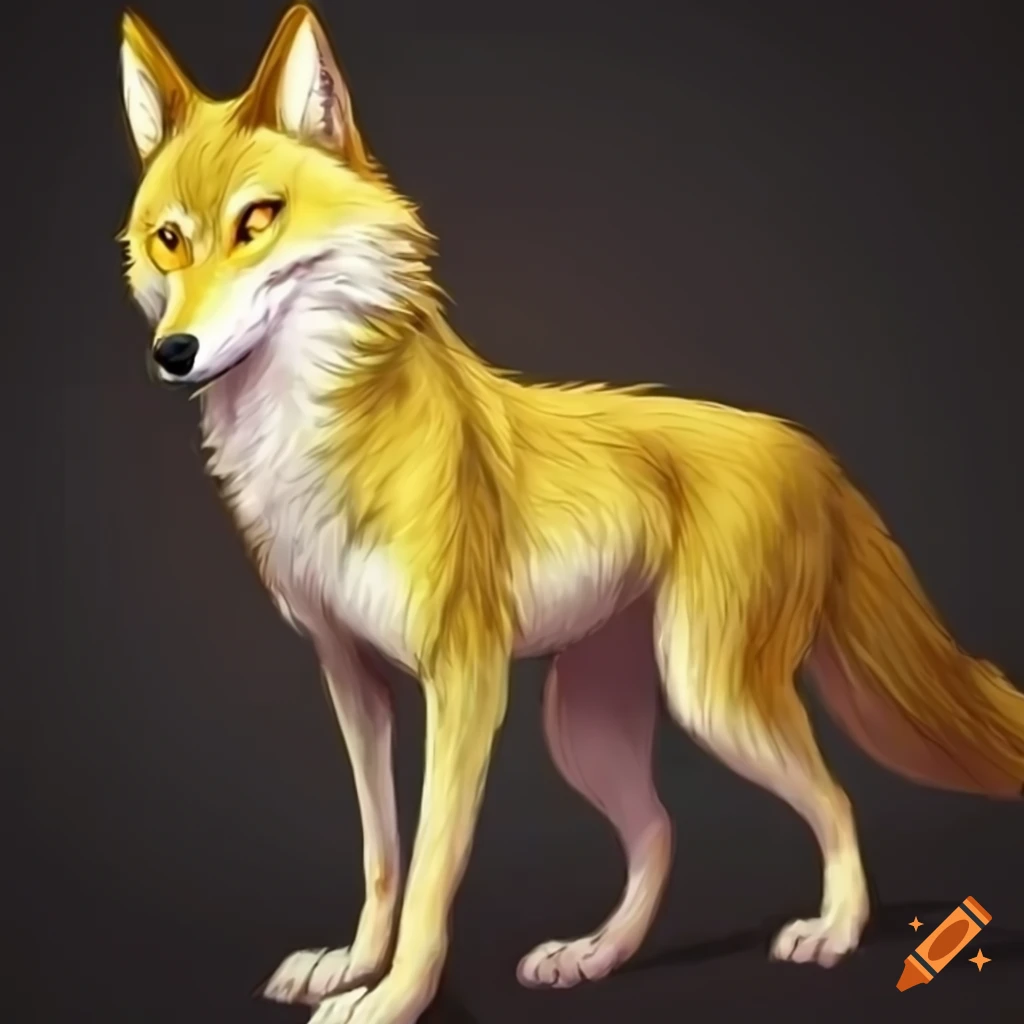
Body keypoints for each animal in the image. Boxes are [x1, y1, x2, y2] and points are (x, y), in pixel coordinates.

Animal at [117, 6, 1024, 1023]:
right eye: (168, 240)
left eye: (257, 221)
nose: (173, 353)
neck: (316, 438)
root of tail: (805, 447)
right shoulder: (352, 681)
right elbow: (382, 856)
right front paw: (353, 965)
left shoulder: (465, 683)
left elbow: (430, 871)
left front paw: (392, 998)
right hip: (587, 728)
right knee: (662, 832)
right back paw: (594, 956)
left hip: (710, 698)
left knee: (835, 799)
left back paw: (830, 934)